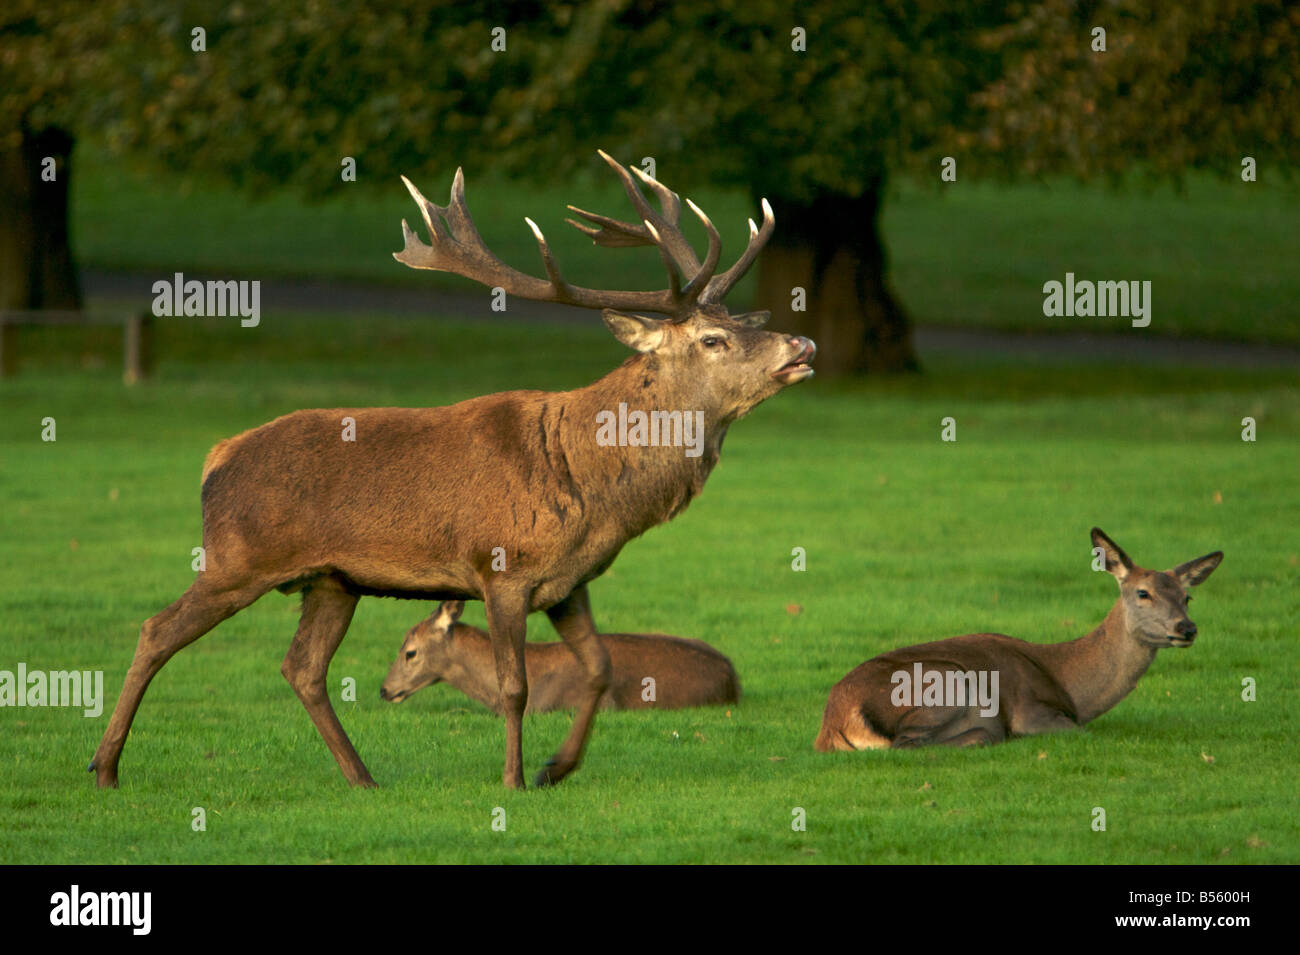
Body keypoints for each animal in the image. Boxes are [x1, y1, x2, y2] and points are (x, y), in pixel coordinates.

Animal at [814, 528, 1222, 751]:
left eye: (1187, 597)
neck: (1069, 685)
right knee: (910, 742)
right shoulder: (1032, 711)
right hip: (945, 681)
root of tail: (835, 722)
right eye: (1142, 592)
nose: (1187, 628)